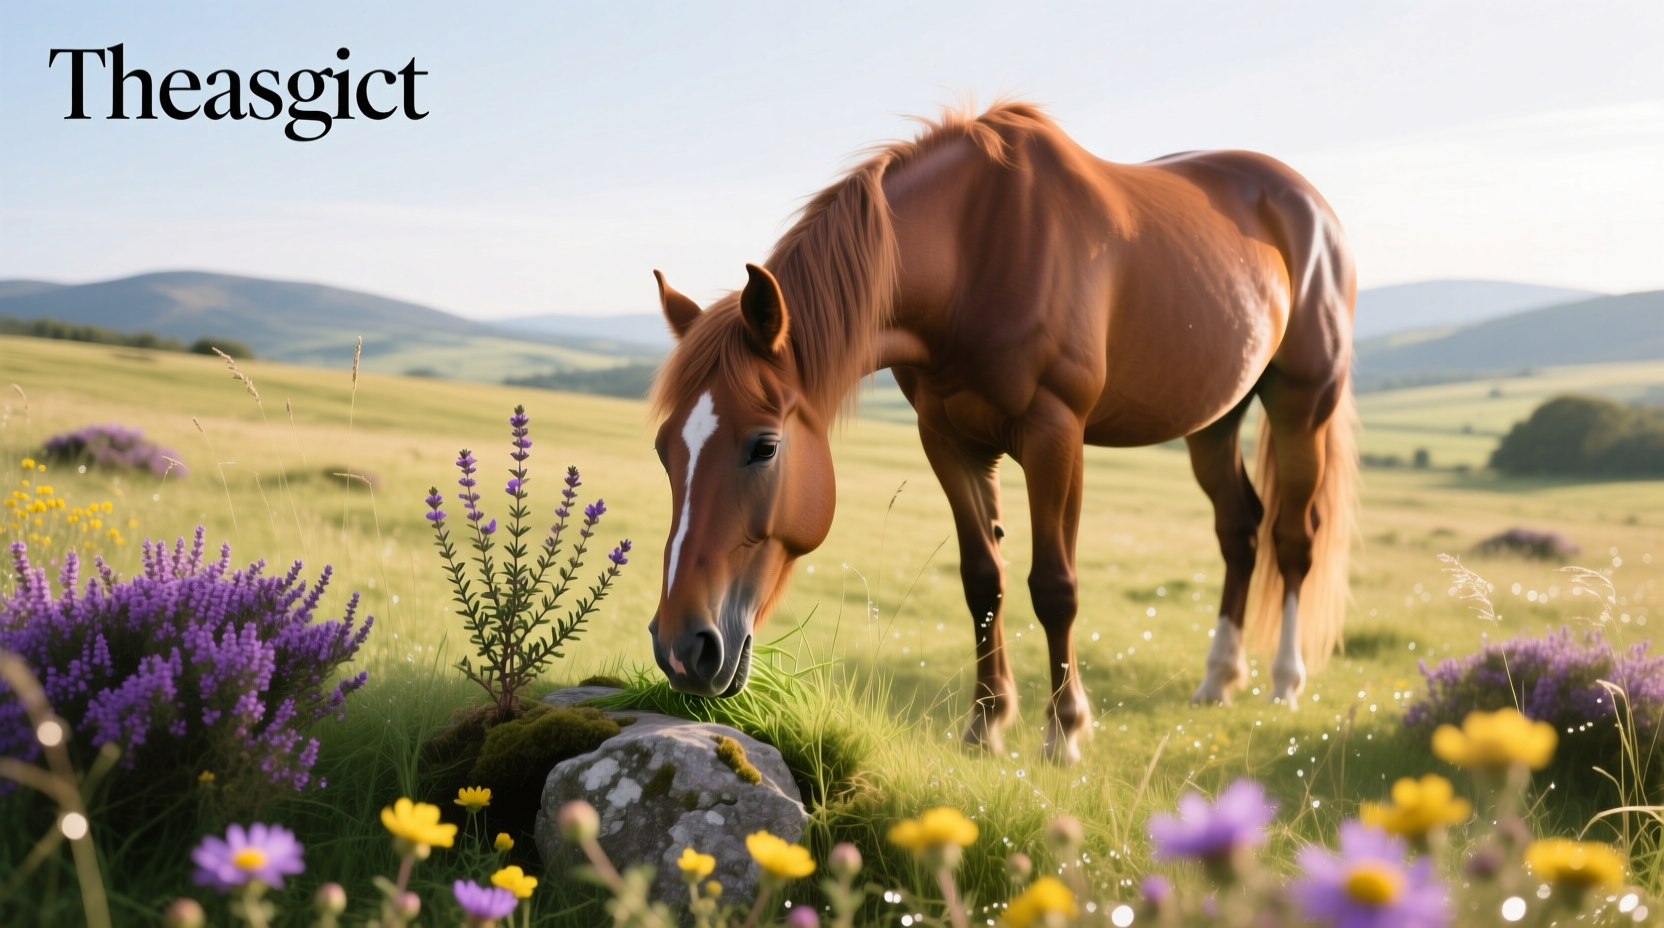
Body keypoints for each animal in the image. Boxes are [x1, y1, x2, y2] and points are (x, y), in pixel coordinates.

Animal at [645, 102, 1357, 765]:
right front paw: (985, 724)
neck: (975, 252)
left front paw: (1064, 731)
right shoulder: (947, 441)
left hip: (1301, 407)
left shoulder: (1055, 435)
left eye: (764, 446)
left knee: (1292, 537)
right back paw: (1217, 680)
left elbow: (1055, 587)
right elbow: (982, 580)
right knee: (1239, 530)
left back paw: (1284, 681)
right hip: (1214, 422)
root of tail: (1309, 206)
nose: (682, 648)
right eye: (664, 451)